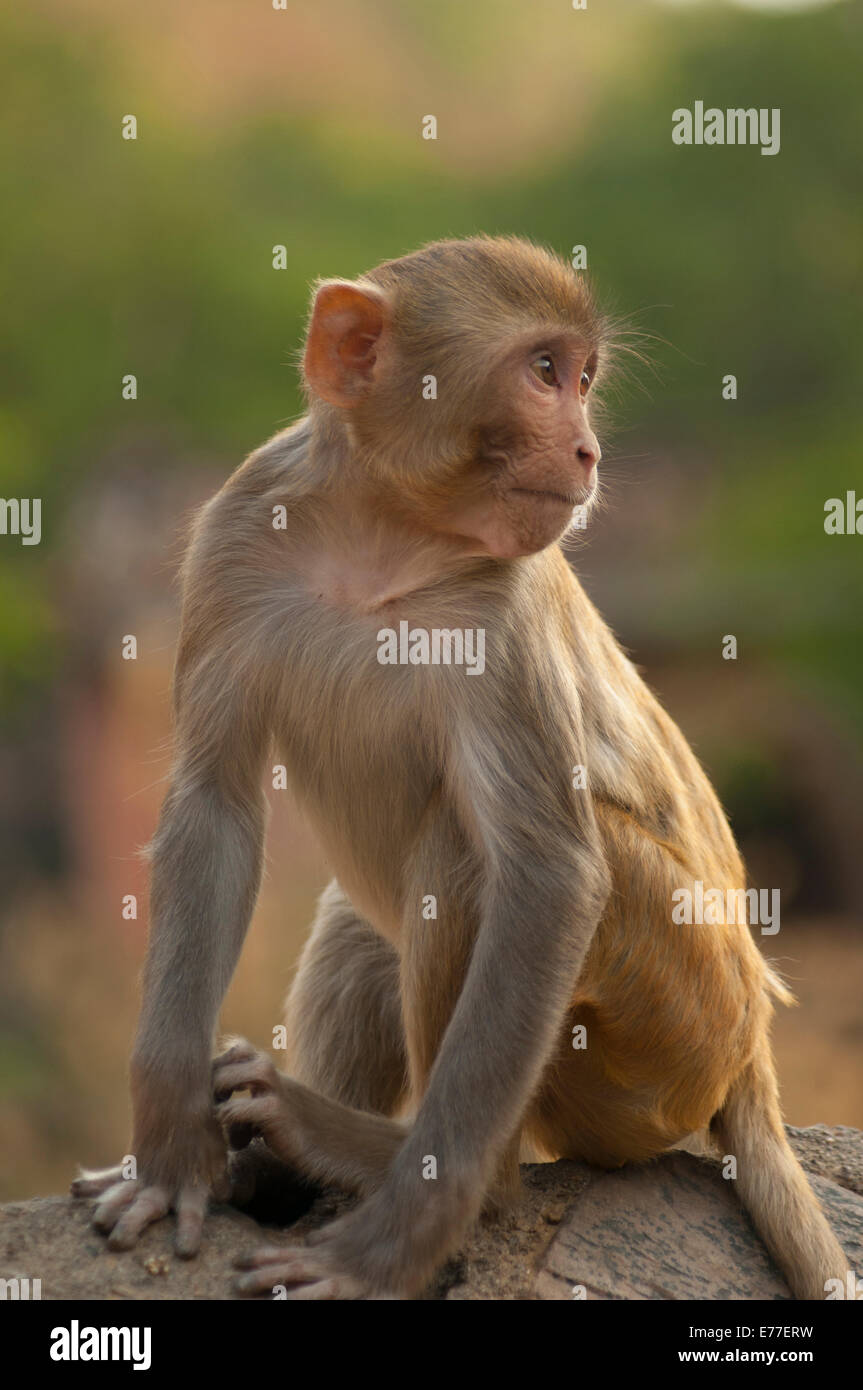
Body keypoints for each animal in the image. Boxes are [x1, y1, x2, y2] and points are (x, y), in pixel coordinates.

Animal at [73, 235, 850, 1301]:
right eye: (544, 371)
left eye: (583, 378)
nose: (586, 450)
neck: (383, 534)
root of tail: (752, 1054)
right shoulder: (236, 534)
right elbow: (215, 806)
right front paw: (167, 1158)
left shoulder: (503, 610)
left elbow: (550, 876)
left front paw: (385, 1250)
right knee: (365, 923)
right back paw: (275, 1165)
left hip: (672, 1023)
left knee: (467, 853)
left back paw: (387, 1162)